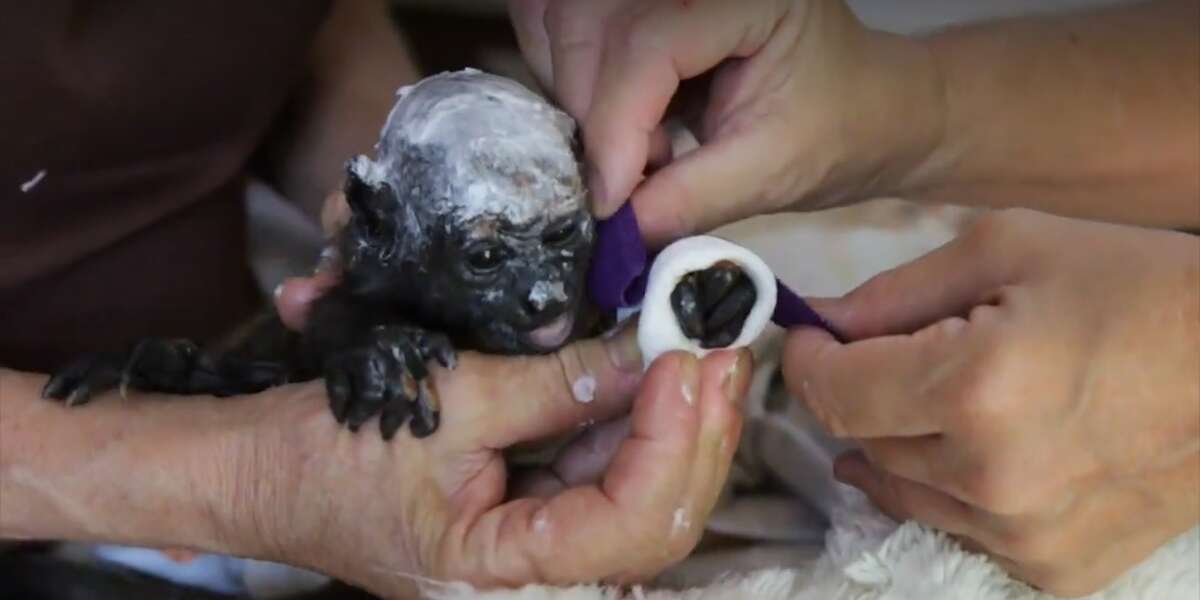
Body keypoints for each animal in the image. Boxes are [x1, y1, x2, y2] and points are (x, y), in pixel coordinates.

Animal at [41, 69, 758, 441]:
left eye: (561, 236)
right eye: (485, 257)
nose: (545, 298)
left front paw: (710, 296)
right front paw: (377, 355)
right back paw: (160, 366)